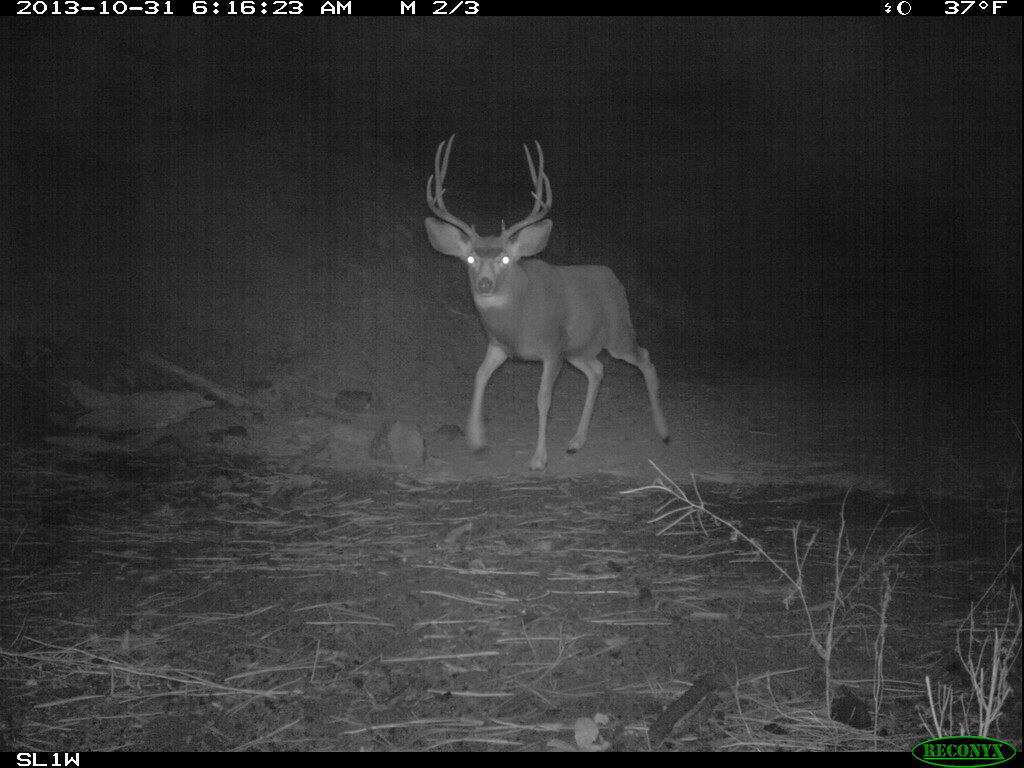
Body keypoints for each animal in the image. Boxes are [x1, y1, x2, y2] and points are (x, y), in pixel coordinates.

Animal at [424, 135, 669, 471]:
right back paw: (576, 442)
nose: (485, 284)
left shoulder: (552, 348)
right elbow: (479, 377)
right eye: (471, 259)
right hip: (578, 349)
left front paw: (538, 458)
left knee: (645, 358)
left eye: (505, 258)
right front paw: (476, 439)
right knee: (597, 371)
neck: (518, 319)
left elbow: (543, 399)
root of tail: (613, 277)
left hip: (617, 332)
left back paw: (663, 431)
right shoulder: (500, 346)